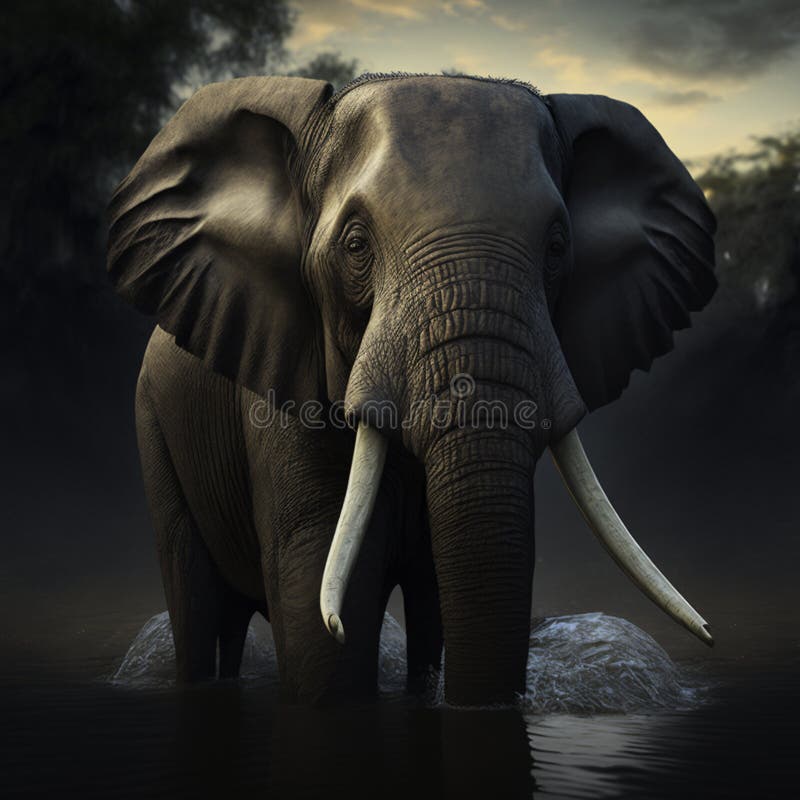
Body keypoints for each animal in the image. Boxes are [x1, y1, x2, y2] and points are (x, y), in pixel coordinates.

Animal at [107, 73, 716, 706]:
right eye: (355, 246)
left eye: (556, 248)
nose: (710, 633)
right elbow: (316, 578)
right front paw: (335, 636)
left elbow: (436, 587)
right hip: (152, 420)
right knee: (193, 599)